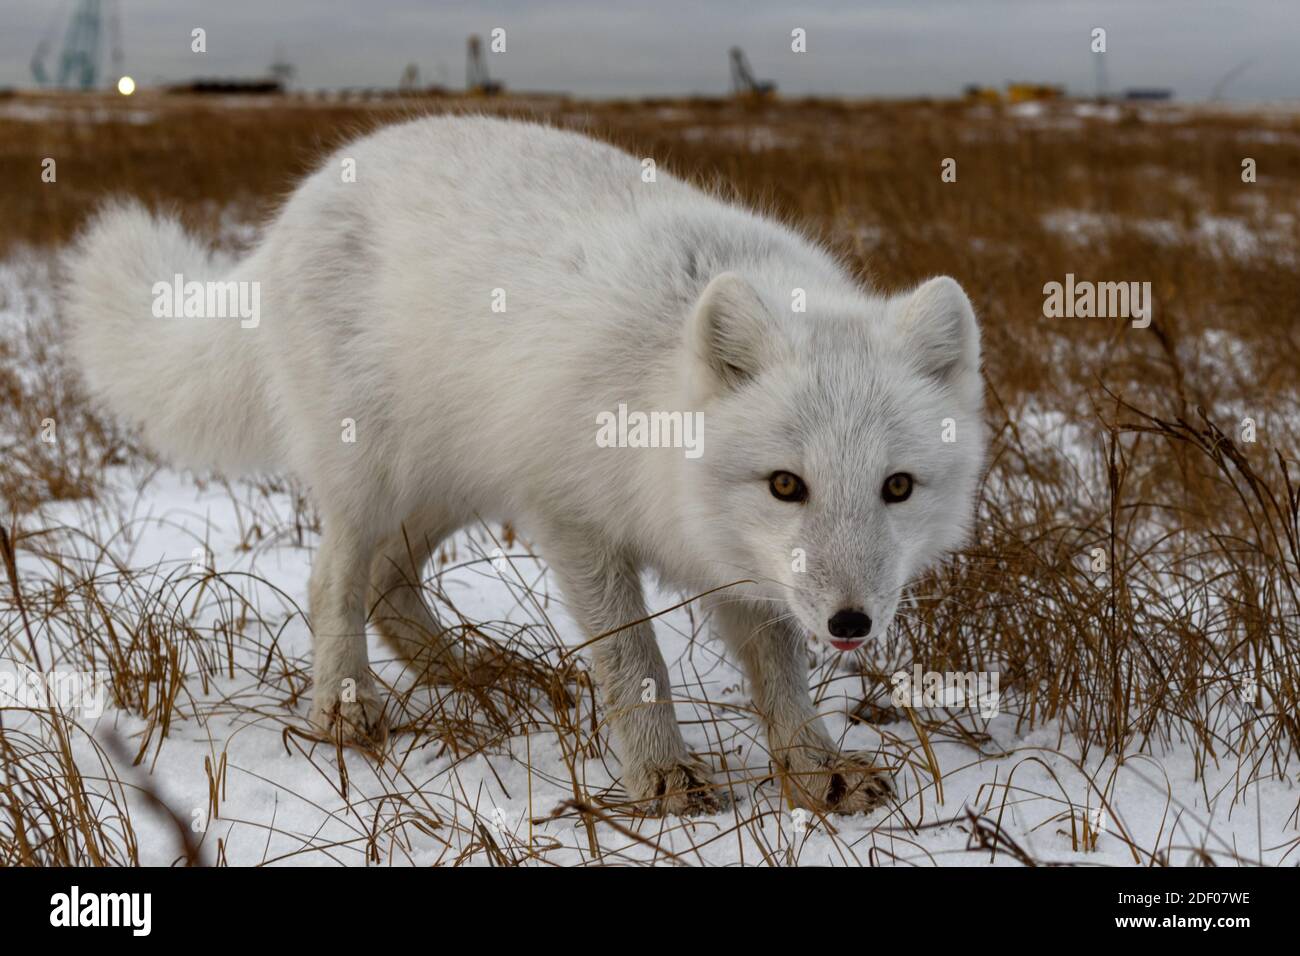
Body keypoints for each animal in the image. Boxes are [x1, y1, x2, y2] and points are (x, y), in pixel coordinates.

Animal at [65, 115, 986, 815]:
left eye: (897, 488)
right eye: (787, 485)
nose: (851, 624)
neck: (652, 399)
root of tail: (302, 198)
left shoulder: (735, 564)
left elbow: (779, 675)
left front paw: (815, 769)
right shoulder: (571, 518)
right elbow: (635, 662)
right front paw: (663, 777)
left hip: (457, 478)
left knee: (390, 582)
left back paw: (477, 675)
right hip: (372, 472)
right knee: (334, 578)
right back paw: (348, 708)